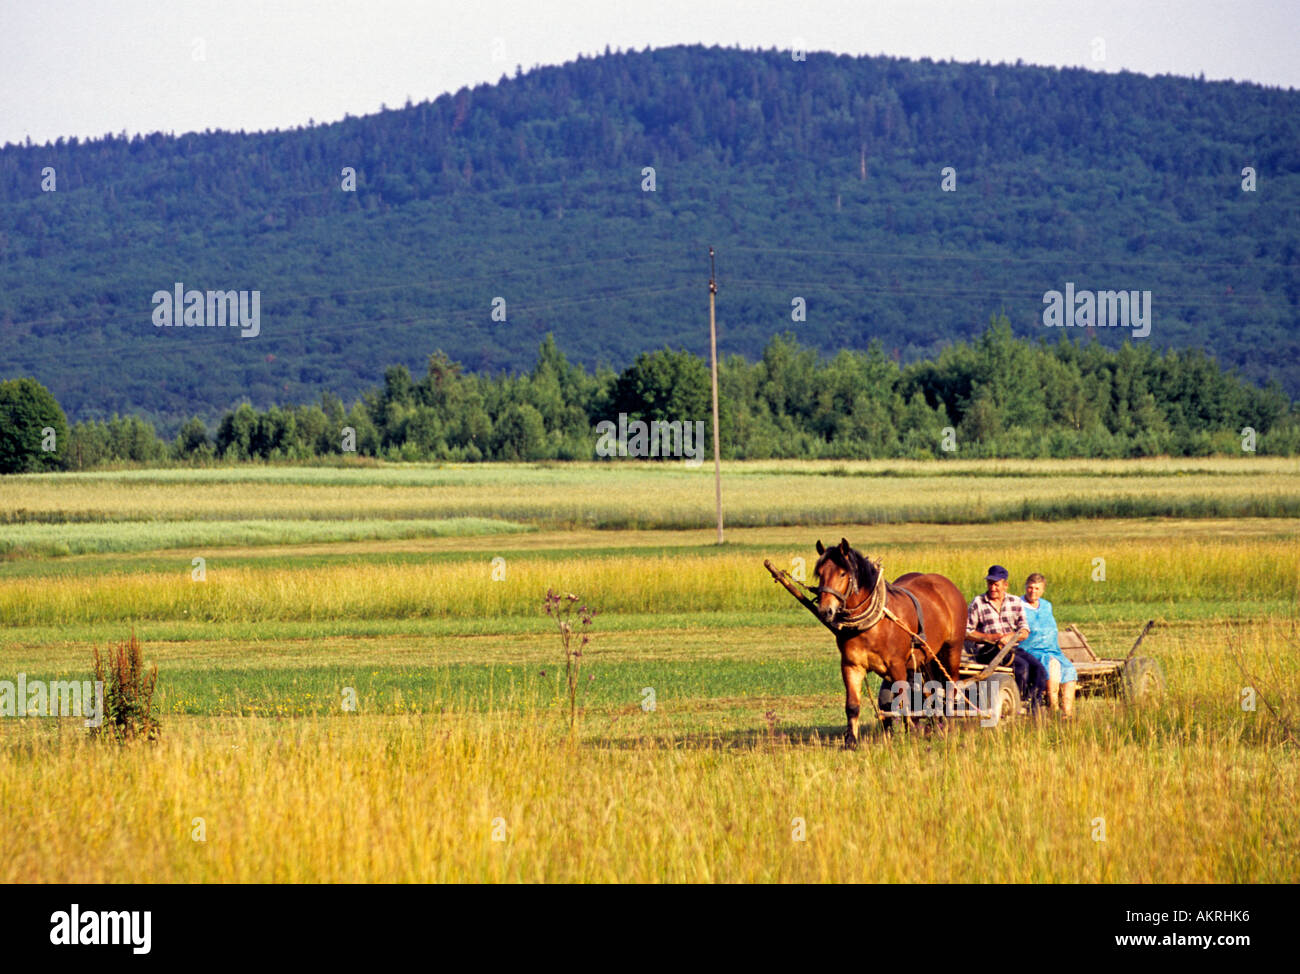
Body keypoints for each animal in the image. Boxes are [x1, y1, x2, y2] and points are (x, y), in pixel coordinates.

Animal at [813, 538, 969, 747]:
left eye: (842, 573)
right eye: (820, 573)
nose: (825, 610)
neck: (873, 625)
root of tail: (946, 584)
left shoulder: (897, 666)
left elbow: (904, 702)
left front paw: (912, 734)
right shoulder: (851, 665)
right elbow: (852, 705)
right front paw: (850, 741)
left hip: (952, 650)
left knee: (950, 685)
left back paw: (948, 725)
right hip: (927, 658)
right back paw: (937, 725)